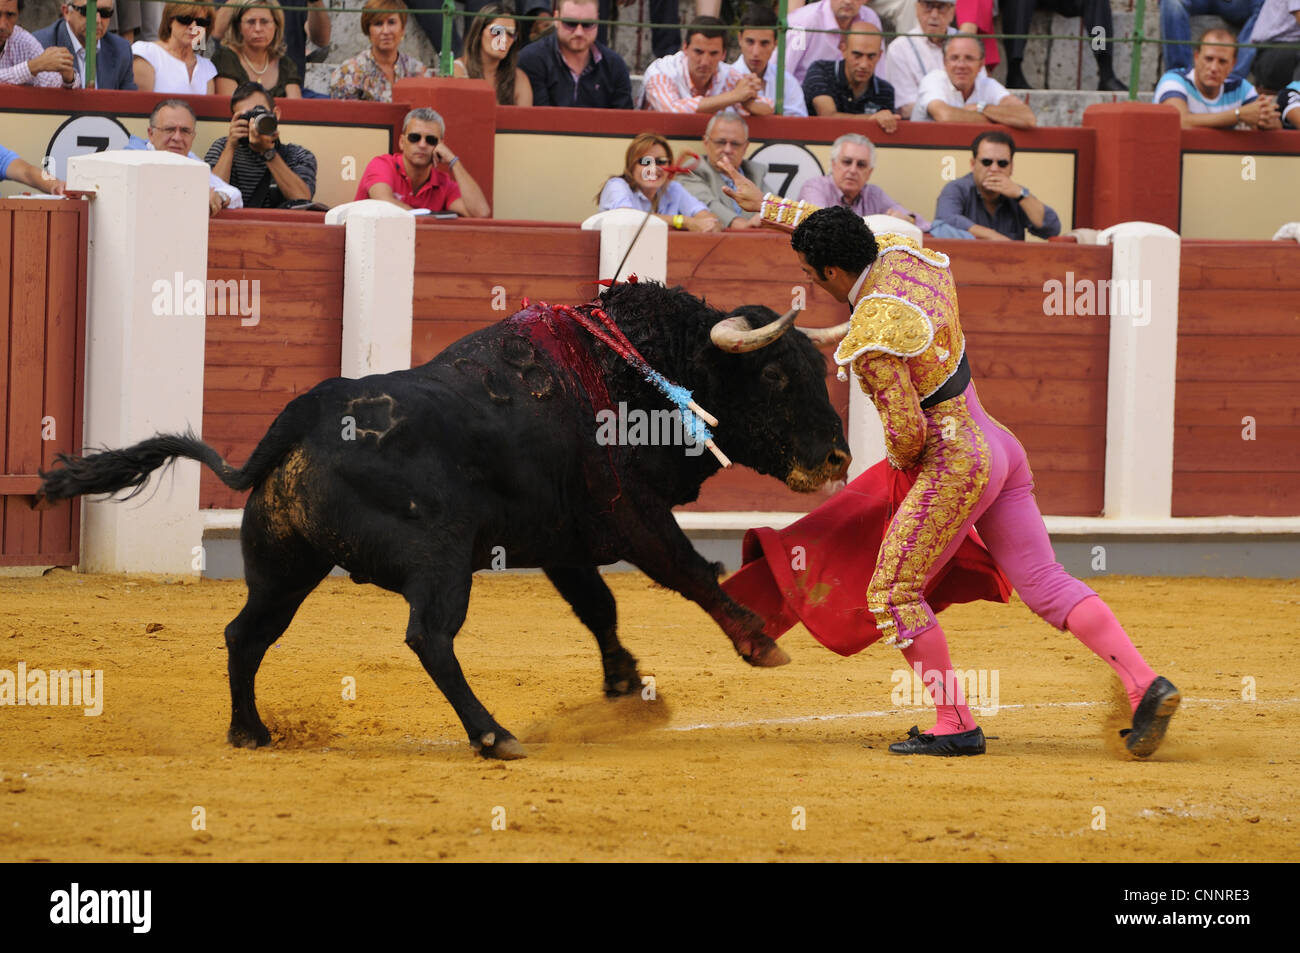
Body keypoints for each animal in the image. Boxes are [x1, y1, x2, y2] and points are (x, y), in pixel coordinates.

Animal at [37, 281, 851, 759]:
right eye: (776, 375)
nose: (839, 456)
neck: (632, 369)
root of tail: (306, 416)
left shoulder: (565, 536)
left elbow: (598, 606)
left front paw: (623, 681)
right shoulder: (631, 513)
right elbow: (687, 570)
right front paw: (757, 641)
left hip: (286, 566)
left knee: (247, 633)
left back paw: (251, 730)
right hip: (442, 558)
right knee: (429, 636)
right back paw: (494, 734)